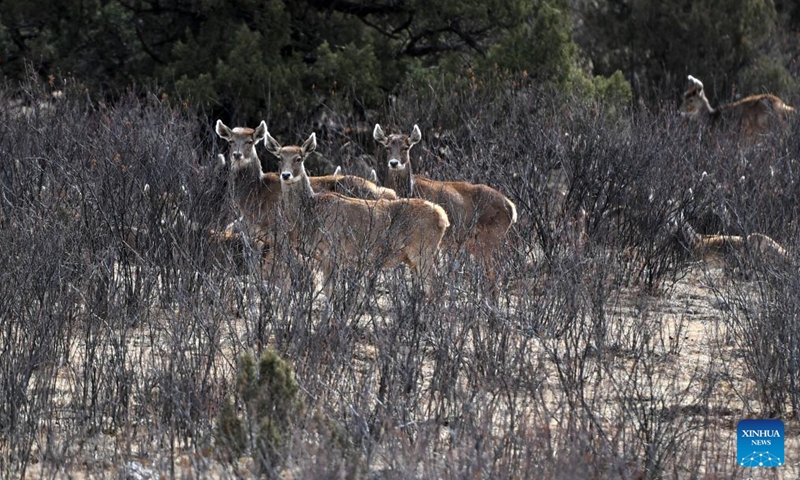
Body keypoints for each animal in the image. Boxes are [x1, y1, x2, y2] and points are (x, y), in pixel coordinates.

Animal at [263, 129, 449, 298]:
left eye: (299, 158)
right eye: (279, 157)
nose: (285, 175)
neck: (310, 214)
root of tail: (443, 217)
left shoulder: (331, 251)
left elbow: (329, 292)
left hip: (423, 249)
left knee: (436, 285)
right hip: (414, 257)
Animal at [373, 123, 518, 288]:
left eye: (406, 147)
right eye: (387, 147)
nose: (394, 163)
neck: (409, 191)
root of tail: (512, 208)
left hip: (492, 237)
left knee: (497, 272)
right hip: (475, 243)